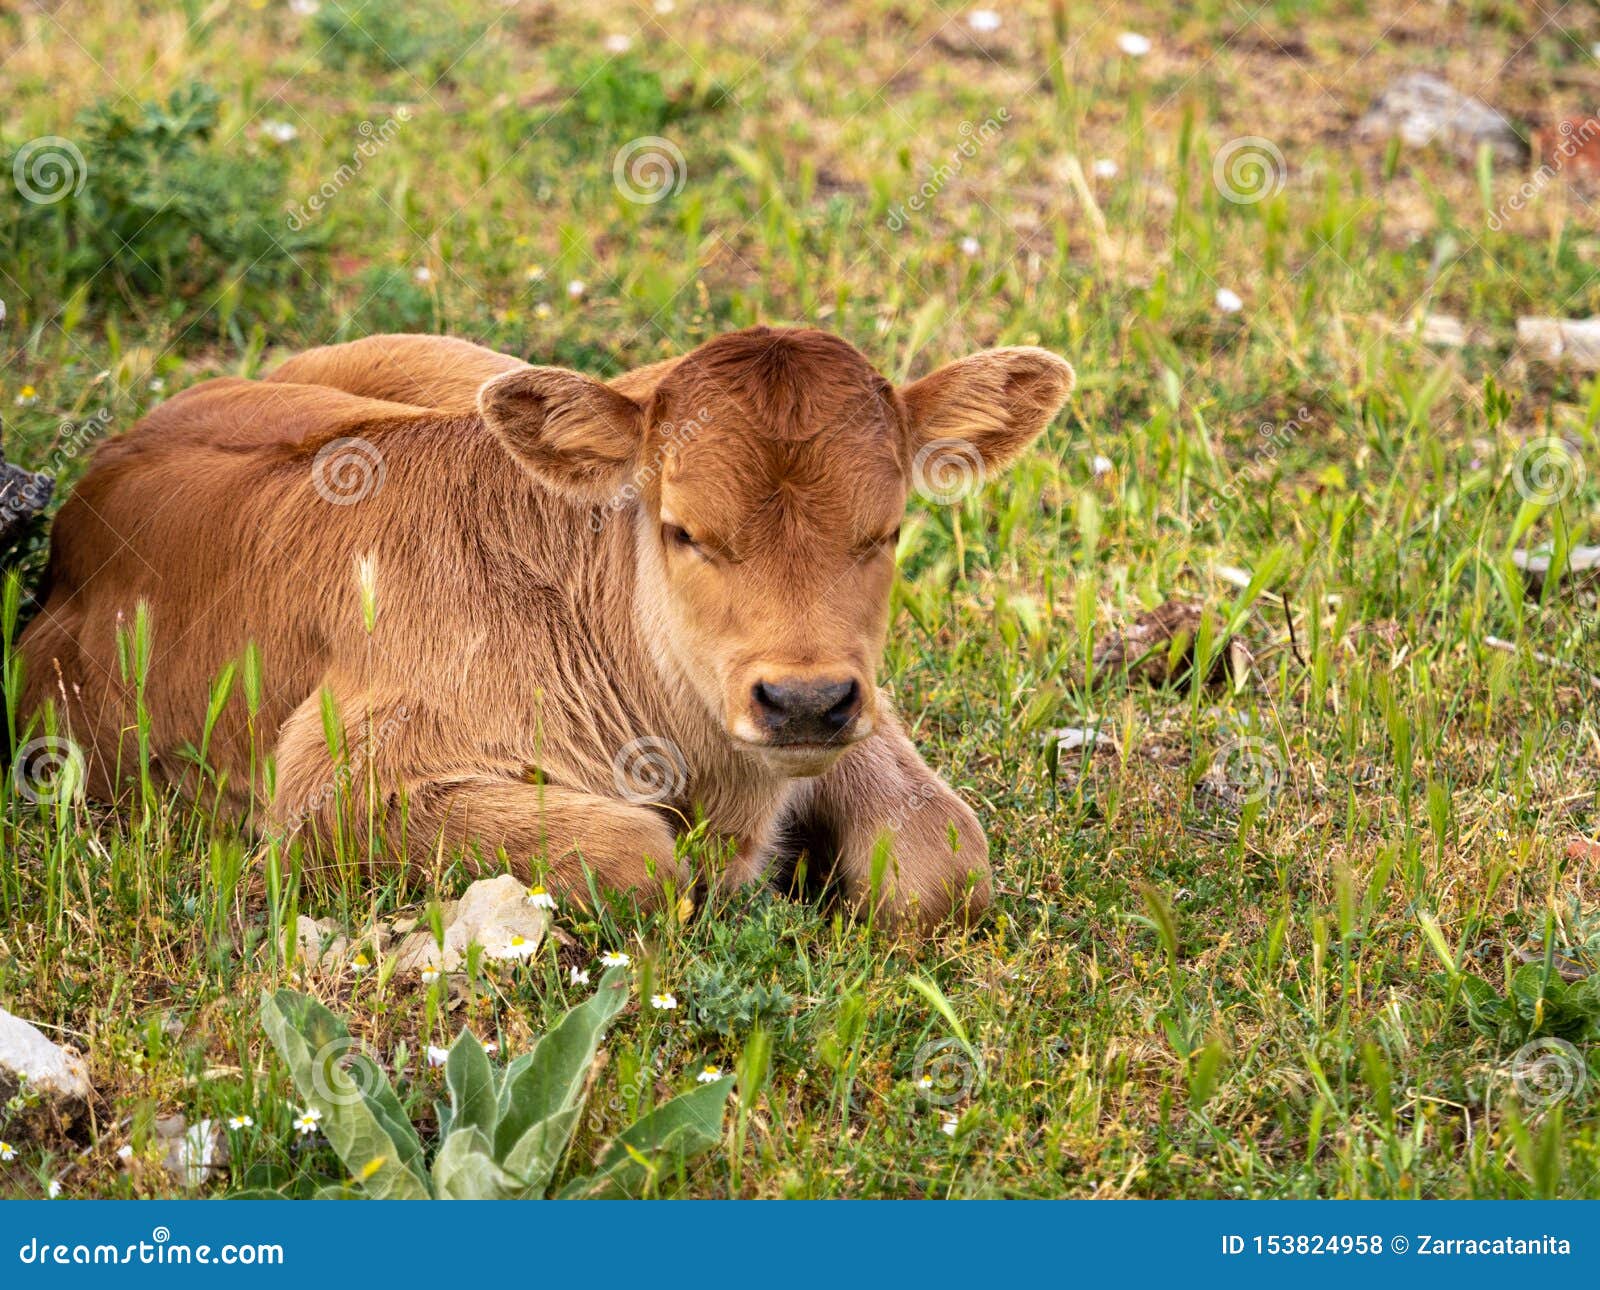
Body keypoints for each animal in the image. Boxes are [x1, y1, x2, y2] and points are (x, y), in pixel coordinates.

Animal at [15, 327, 1073, 930]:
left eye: (886, 529)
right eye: (683, 529)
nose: (805, 700)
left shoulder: (850, 722)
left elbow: (943, 859)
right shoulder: (329, 791)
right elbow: (642, 856)